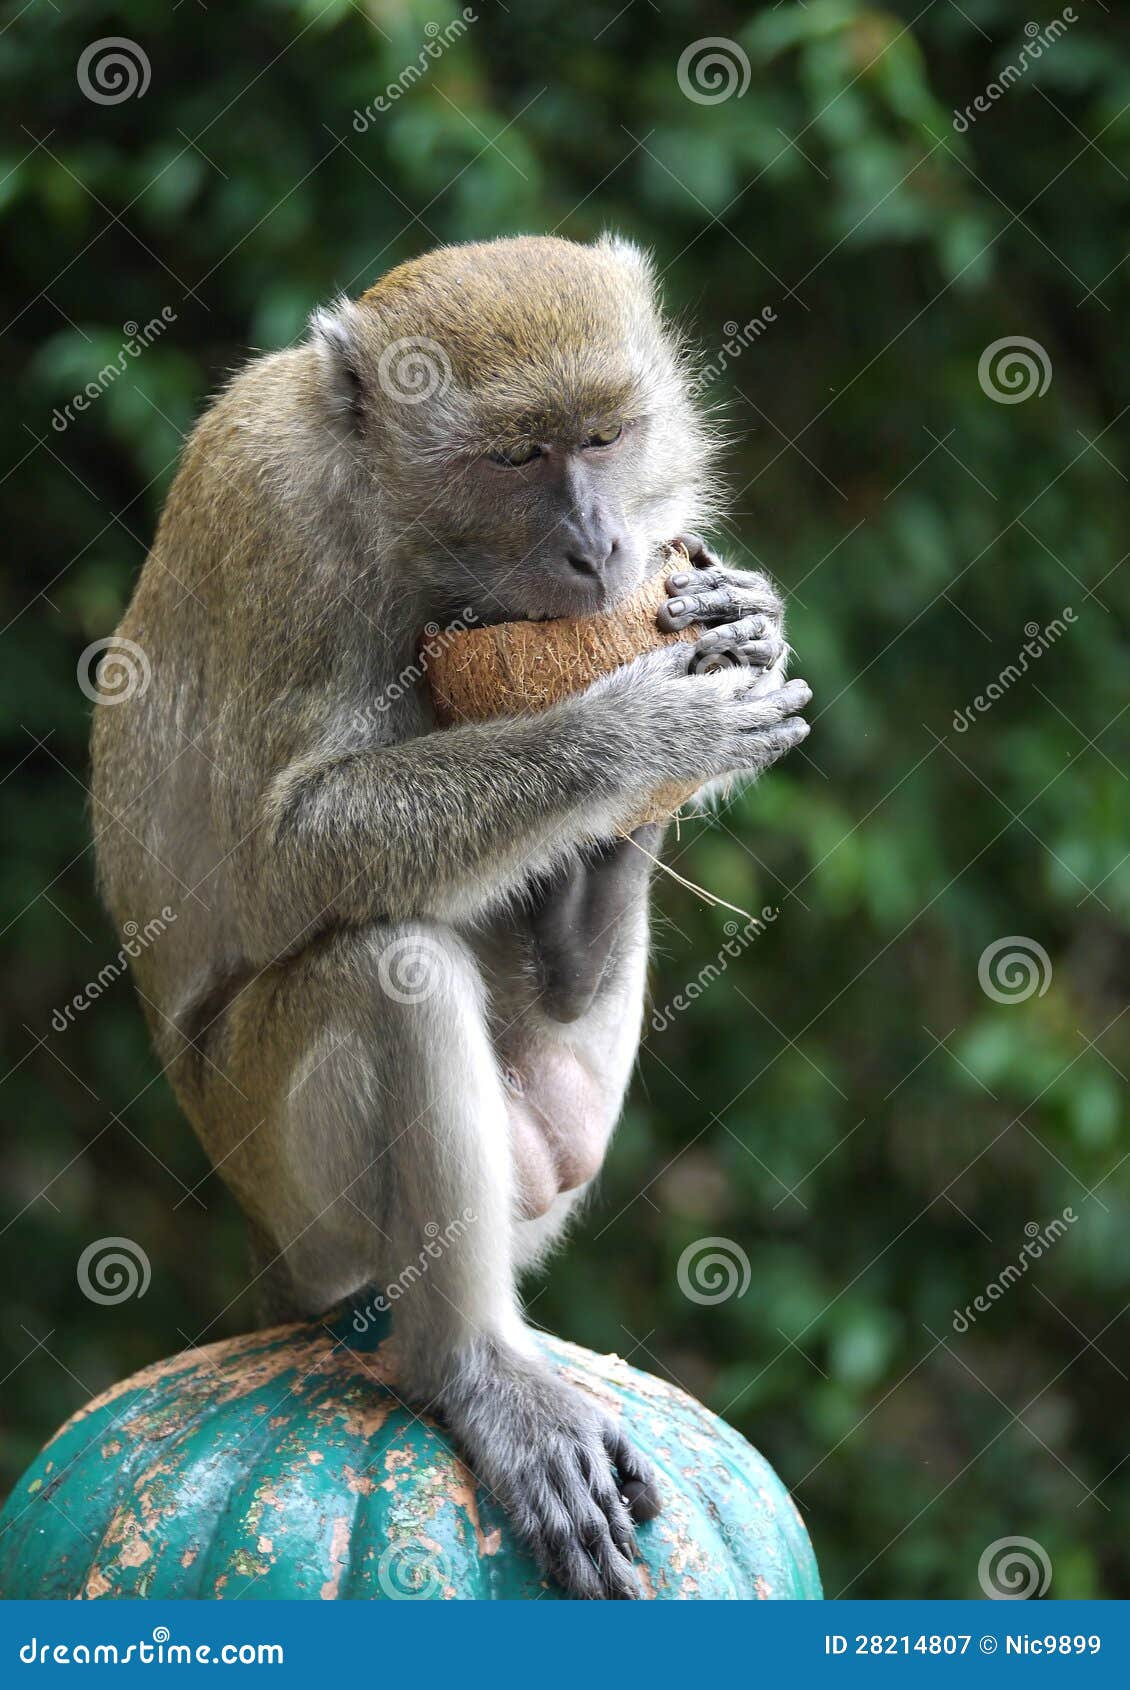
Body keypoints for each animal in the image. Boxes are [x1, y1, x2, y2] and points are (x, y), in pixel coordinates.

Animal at [90, 235, 810, 1600]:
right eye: (516, 456)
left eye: (606, 437)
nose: (598, 545)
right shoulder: (289, 537)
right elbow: (283, 852)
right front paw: (634, 733)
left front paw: (742, 613)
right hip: (297, 1192)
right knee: (387, 967)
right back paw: (473, 1370)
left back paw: (588, 918)